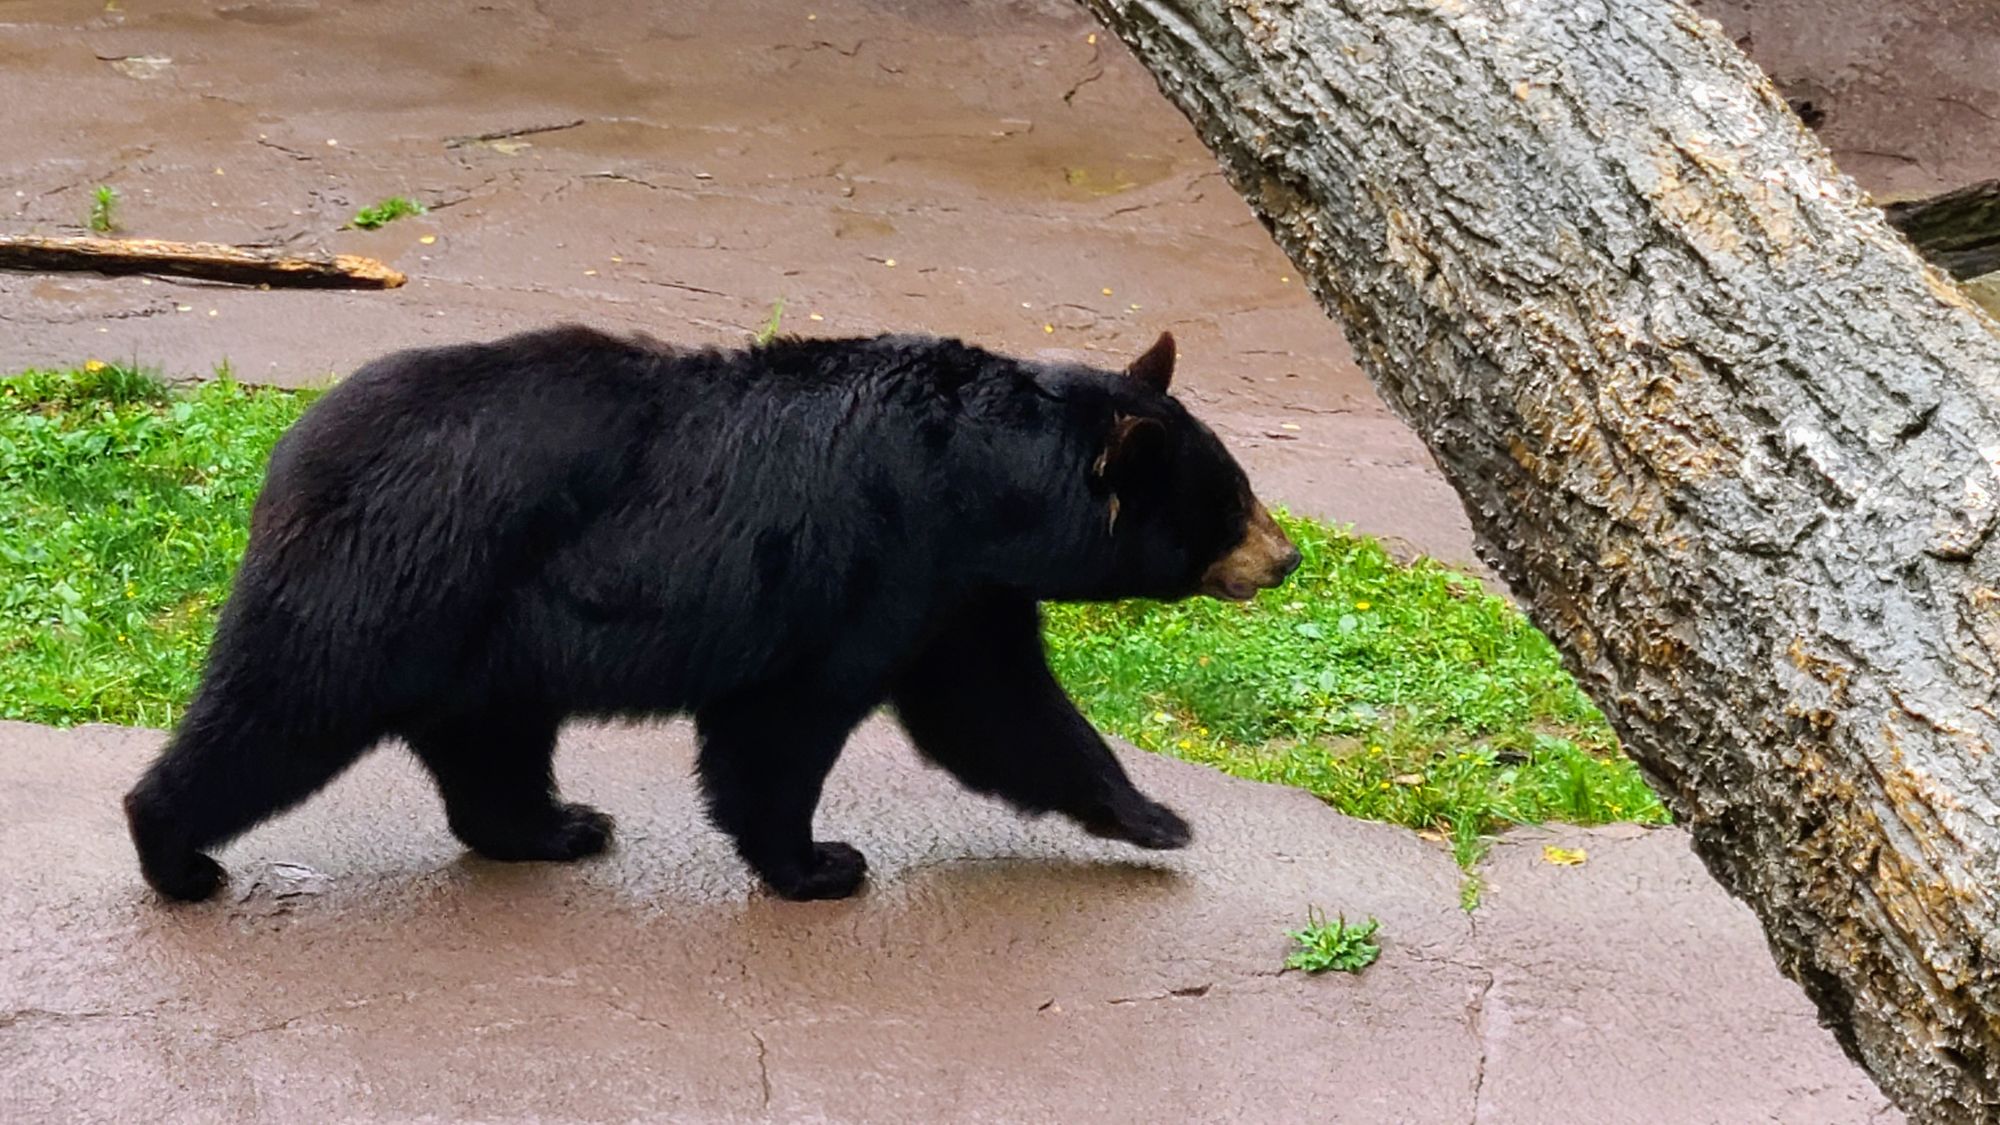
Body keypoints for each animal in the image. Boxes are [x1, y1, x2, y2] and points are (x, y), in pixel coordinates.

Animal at [123, 325, 1301, 902]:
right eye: (1228, 503)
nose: (1286, 558)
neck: (975, 482)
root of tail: (288, 455)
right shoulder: (875, 558)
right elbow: (785, 721)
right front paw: (818, 866)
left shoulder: (958, 589)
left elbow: (997, 706)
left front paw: (1150, 816)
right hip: (392, 582)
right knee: (283, 708)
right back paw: (175, 854)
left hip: (487, 632)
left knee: (489, 739)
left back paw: (555, 826)